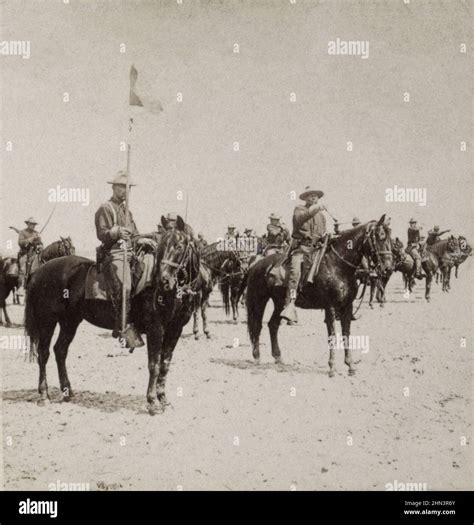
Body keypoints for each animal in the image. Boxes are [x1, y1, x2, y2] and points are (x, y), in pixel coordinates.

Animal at [24, 216, 198, 414]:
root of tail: (38, 272)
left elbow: (165, 364)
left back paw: (67, 392)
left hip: (70, 322)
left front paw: (164, 399)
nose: (163, 281)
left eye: (179, 245)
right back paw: (44, 395)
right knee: (43, 353)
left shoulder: (175, 330)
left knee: (60, 350)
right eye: (162, 246)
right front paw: (153, 402)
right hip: (48, 321)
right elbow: (154, 365)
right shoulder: (156, 329)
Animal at [244, 215, 388, 374]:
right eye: (381, 237)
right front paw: (332, 367)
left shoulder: (347, 307)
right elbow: (332, 335)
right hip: (259, 300)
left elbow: (346, 334)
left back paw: (278, 357)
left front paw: (350, 365)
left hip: (280, 303)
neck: (337, 265)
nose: (387, 267)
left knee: (273, 325)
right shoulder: (330, 307)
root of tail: (256, 265)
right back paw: (257, 356)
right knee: (257, 326)